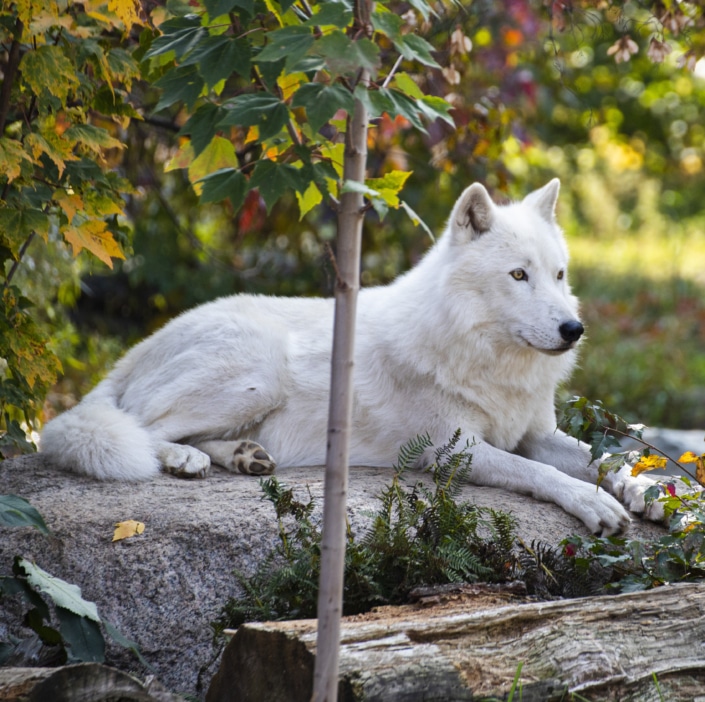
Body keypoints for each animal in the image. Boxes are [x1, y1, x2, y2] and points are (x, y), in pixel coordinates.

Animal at [40, 179, 660, 535]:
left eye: (559, 275)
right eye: (518, 275)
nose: (573, 329)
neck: (486, 357)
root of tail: (139, 346)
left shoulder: (536, 432)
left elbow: (608, 455)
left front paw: (646, 491)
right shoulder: (451, 452)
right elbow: (537, 472)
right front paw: (592, 503)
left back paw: (243, 457)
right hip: (258, 370)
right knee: (139, 427)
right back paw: (183, 460)